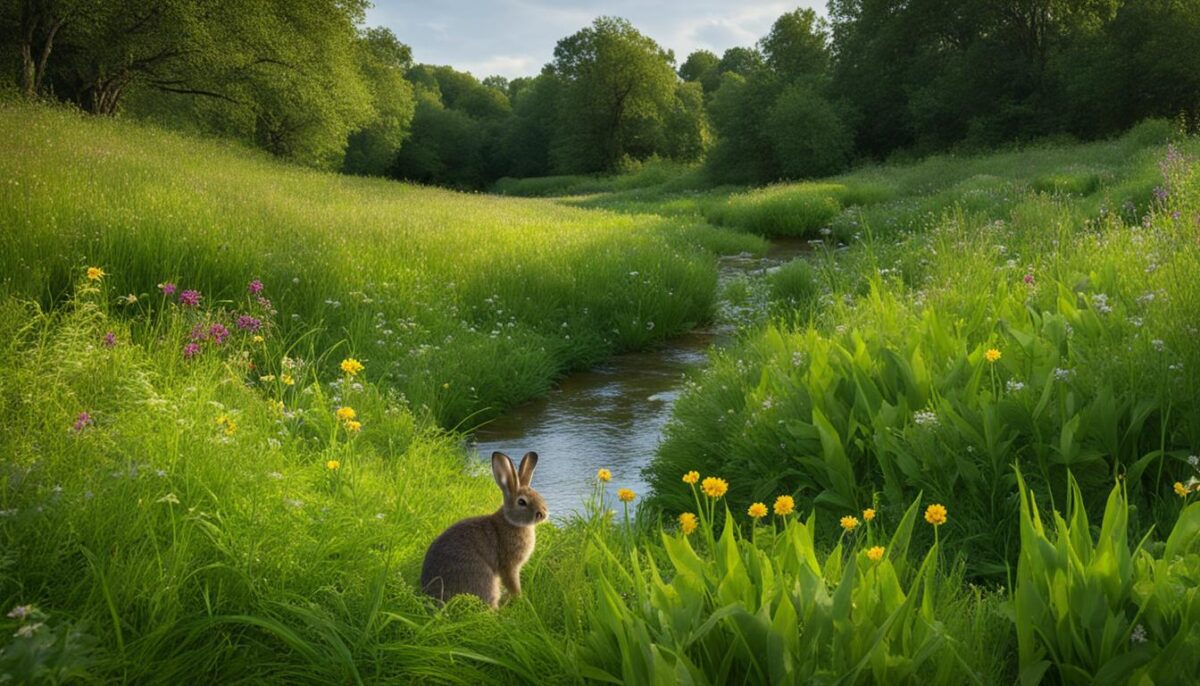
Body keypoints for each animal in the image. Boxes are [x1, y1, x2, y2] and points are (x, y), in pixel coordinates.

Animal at [421, 451, 548, 608]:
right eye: (522, 502)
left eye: (538, 495)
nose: (543, 513)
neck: (511, 521)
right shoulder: (509, 566)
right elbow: (512, 582)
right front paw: (519, 597)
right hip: (484, 579)